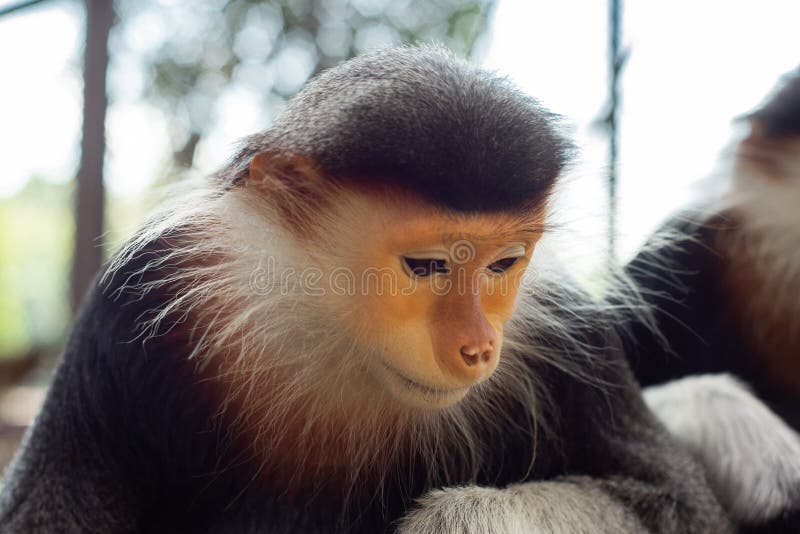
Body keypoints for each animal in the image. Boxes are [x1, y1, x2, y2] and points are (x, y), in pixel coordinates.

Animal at [0, 45, 756, 533]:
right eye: (426, 266)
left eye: (502, 265)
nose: (478, 346)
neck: (336, 335)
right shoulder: (139, 294)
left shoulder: (575, 333)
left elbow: (678, 506)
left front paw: (455, 520)